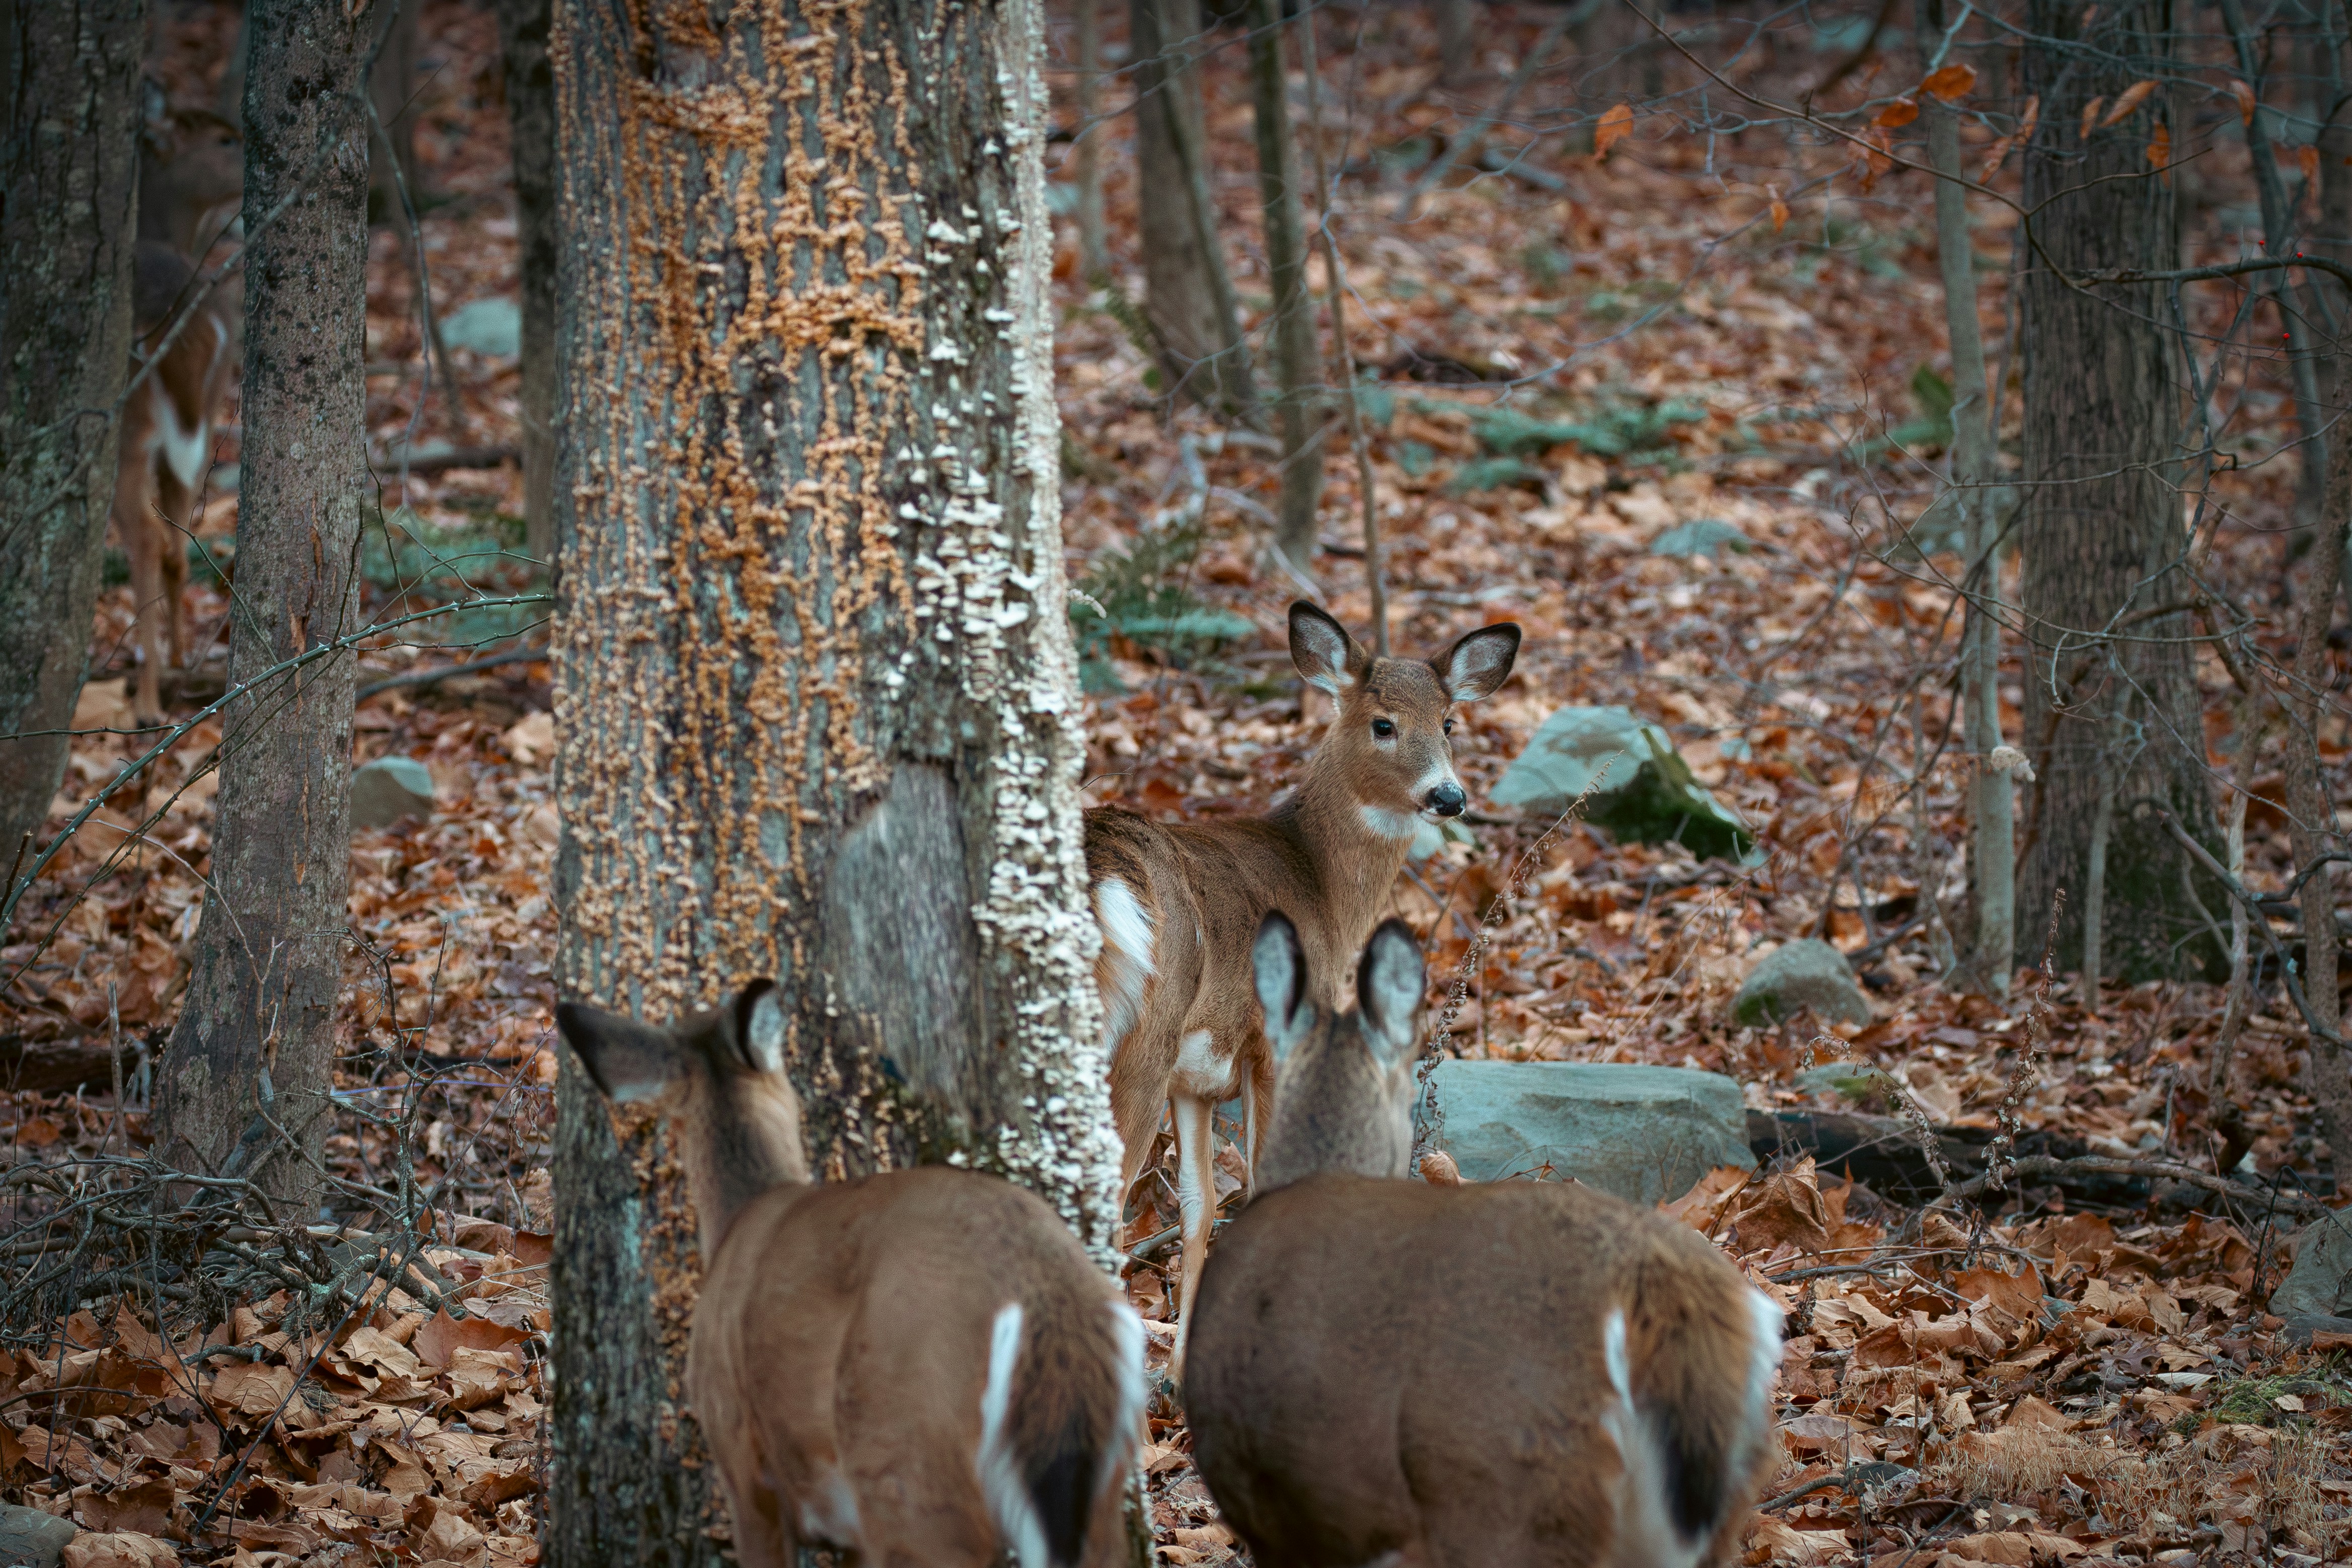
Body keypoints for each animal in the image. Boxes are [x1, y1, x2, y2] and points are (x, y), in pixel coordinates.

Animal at [1085, 600, 1520, 1371]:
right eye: (1383, 723)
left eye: (1449, 722)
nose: (1448, 795)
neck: (1318, 881)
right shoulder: (1269, 1039)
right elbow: (1261, 1187)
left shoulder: (1197, 1081)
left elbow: (1199, 1208)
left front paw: (1185, 1361)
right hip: (1141, 1038)